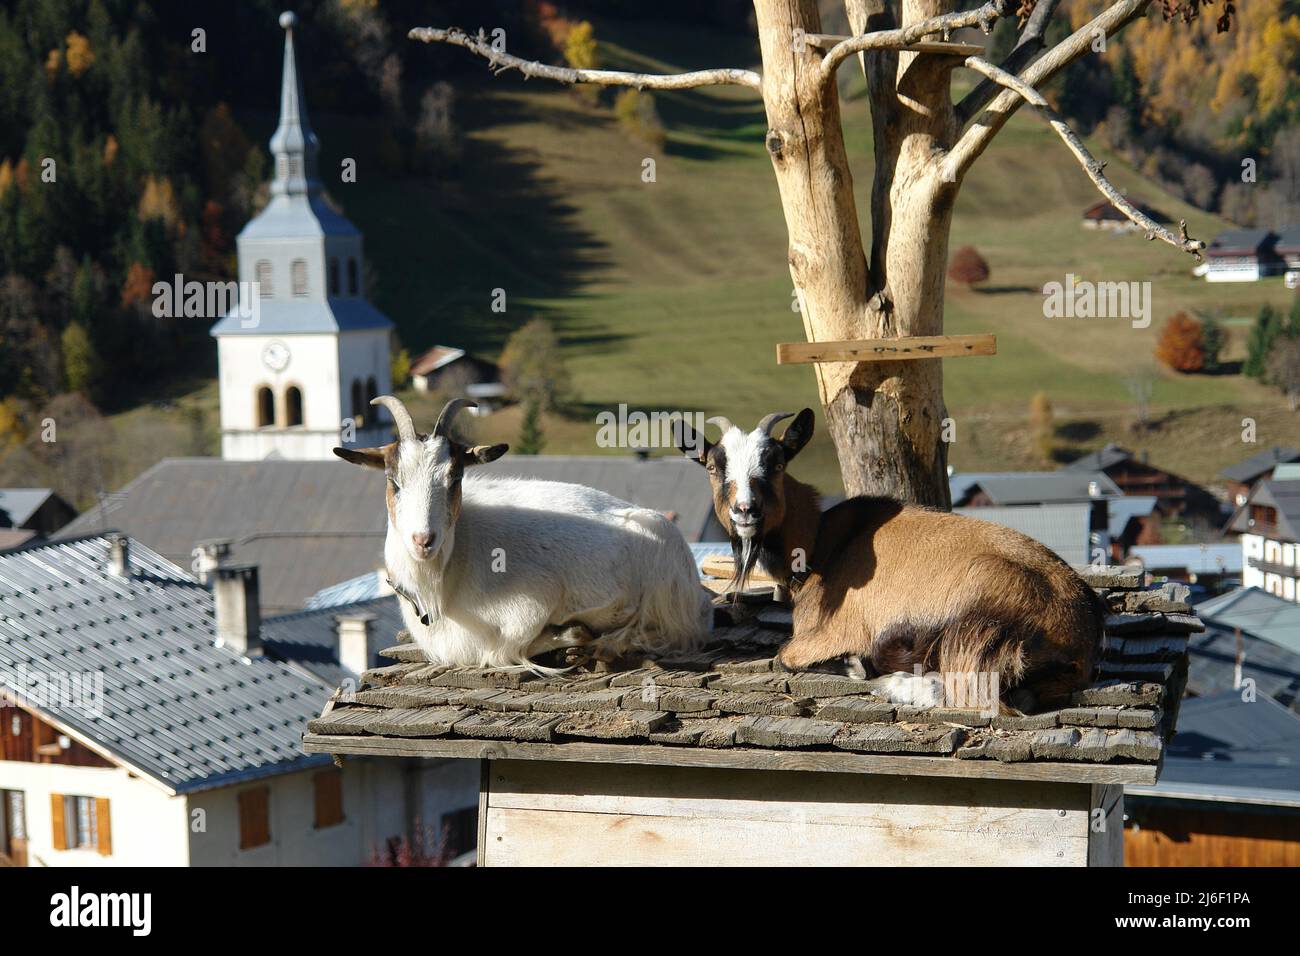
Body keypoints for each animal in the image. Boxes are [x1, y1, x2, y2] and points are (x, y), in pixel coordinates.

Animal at [335, 396, 712, 670]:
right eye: (393, 481)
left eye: (455, 478)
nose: (423, 540)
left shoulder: (532, 604)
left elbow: (503, 649)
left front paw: (572, 637)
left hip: (664, 587)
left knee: (656, 630)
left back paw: (603, 645)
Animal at [676, 410, 1102, 712]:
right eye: (713, 467)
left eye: (776, 464)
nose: (745, 510)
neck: (821, 542)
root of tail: (1082, 630)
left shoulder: (830, 631)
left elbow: (786, 657)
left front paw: (854, 664)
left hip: (979, 614)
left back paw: (898, 684)